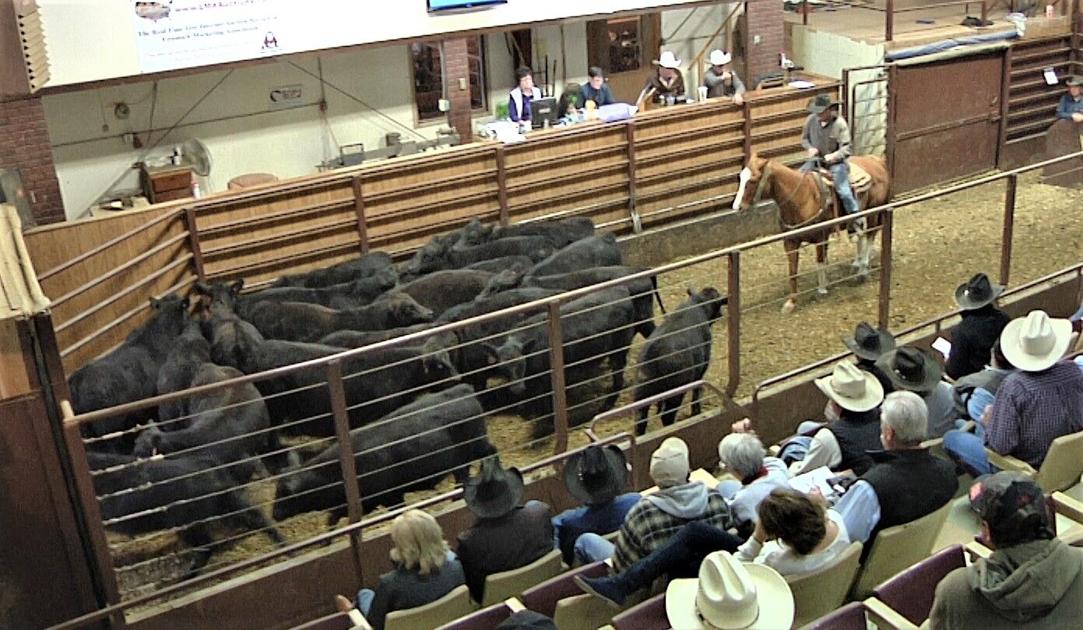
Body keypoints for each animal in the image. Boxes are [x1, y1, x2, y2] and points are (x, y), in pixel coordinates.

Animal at [87, 451, 283, 578]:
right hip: (227, 503)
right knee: (257, 517)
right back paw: (284, 545)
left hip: (188, 524)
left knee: (207, 545)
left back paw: (184, 577)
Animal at [272, 384, 495, 525]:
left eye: (284, 493)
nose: (274, 514)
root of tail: (463, 389)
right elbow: (334, 517)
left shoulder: (388, 497)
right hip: (461, 462)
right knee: (462, 477)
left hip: (478, 445)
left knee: (491, 452)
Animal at [632, 287, 726, 436]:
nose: (721, 313)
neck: (697, 304)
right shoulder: (701, 368)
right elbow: (697, 390)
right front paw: (696, 411)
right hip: (675, 392)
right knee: (666, 416)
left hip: (641, 393)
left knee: (640, 420)